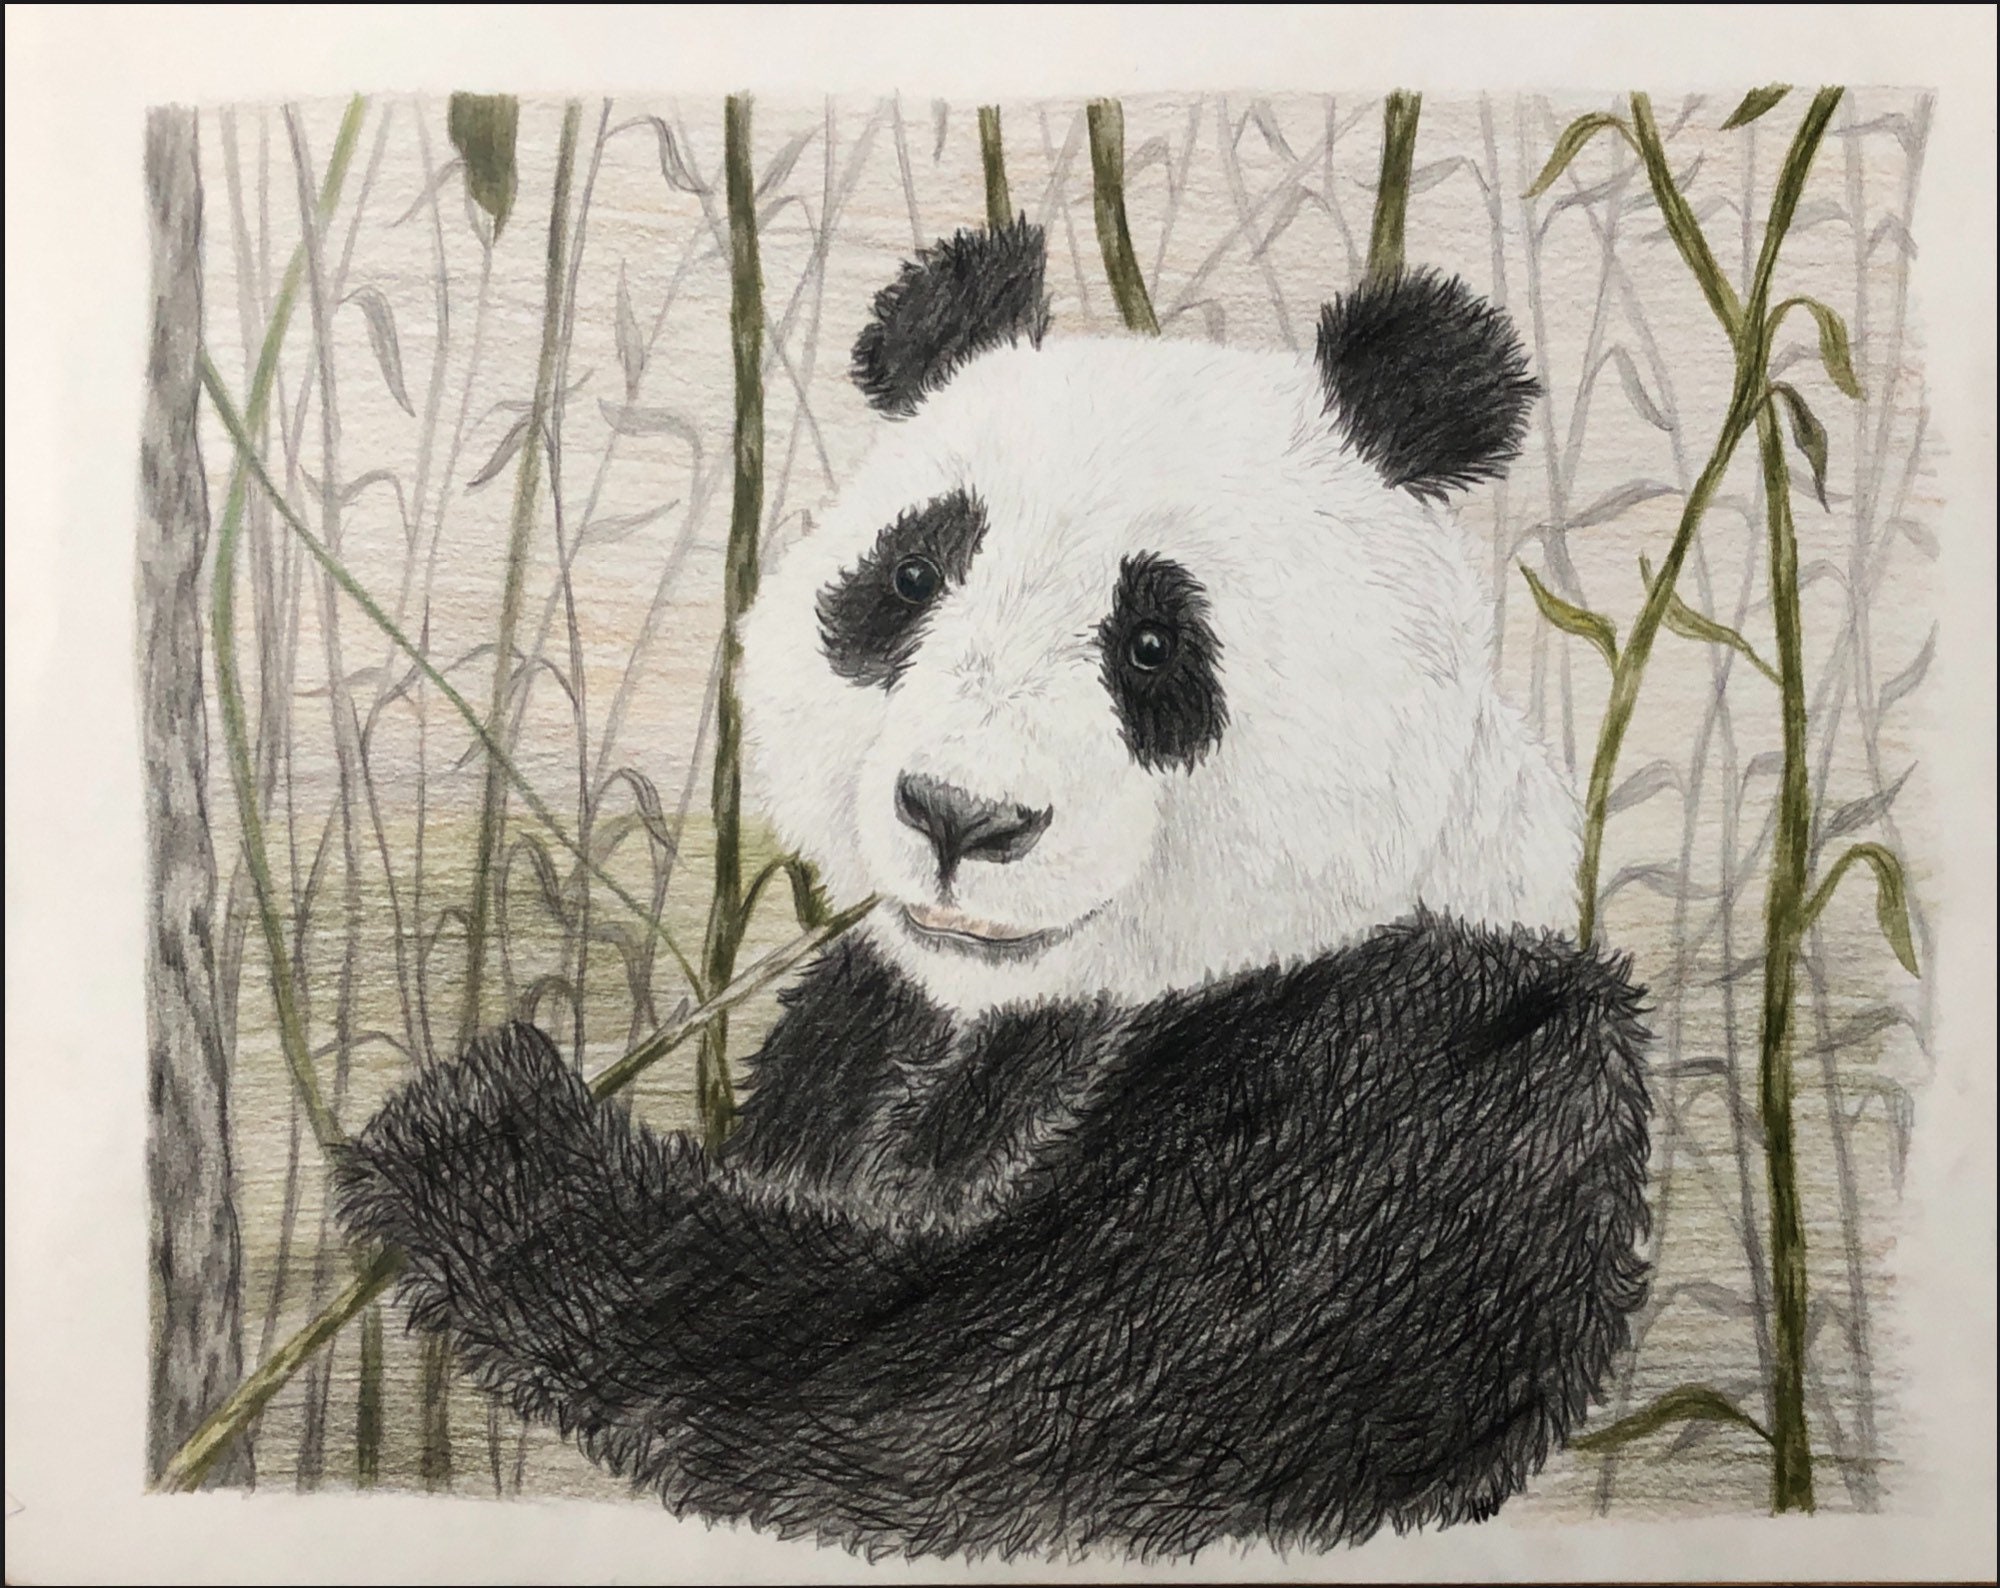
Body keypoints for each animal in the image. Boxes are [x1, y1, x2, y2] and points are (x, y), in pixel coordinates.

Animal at [335, 220, 1652, 1563]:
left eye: (1153, 643)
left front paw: (483, 1139)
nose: (959, 815)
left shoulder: (1389, 1114)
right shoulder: (860, 1033)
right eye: (911, 575)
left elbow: (939, 1399)